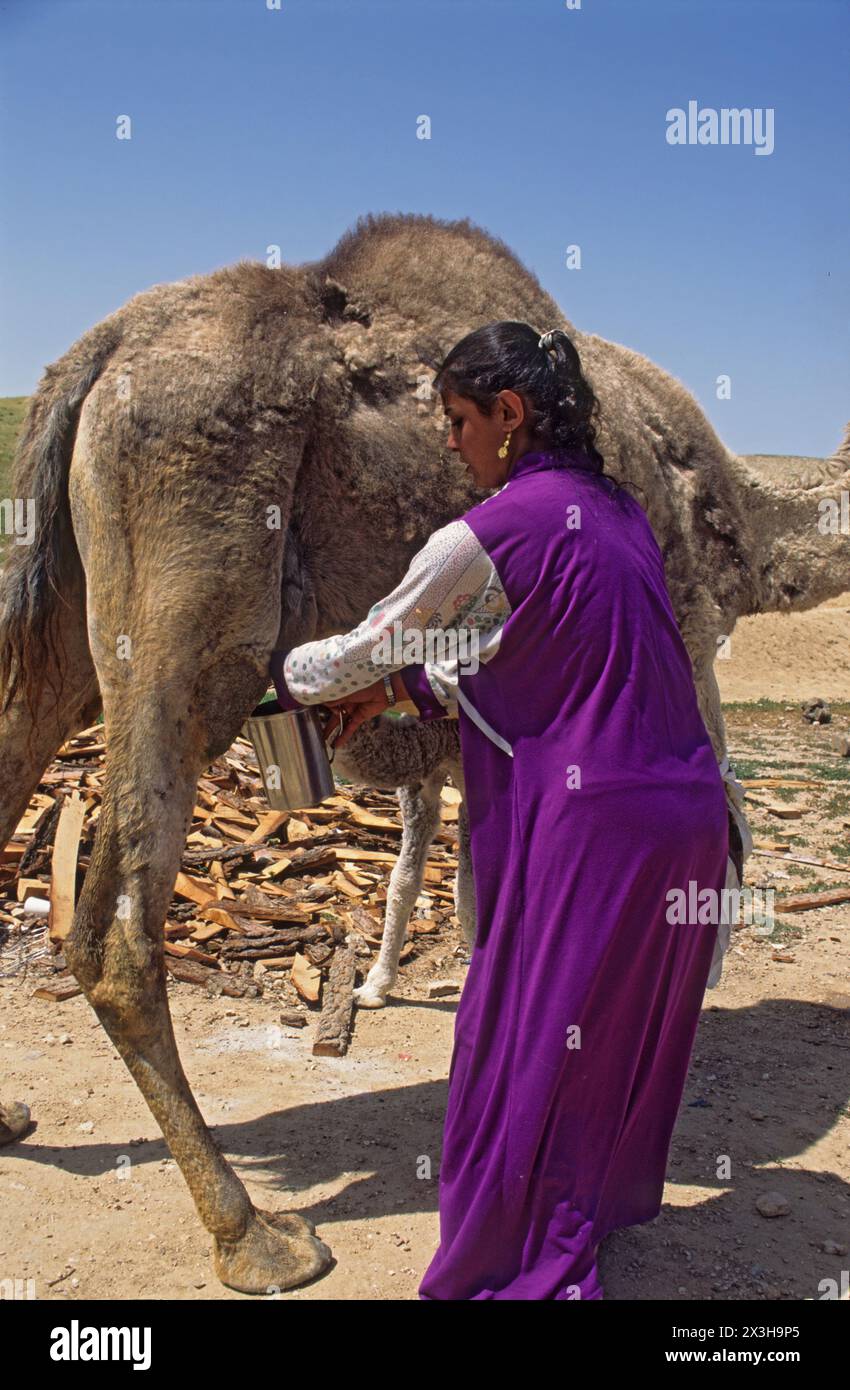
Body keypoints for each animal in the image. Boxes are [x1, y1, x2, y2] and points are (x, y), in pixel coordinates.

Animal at [1, 210, 848, 1294]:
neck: (744, 525)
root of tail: (96, 355)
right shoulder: (690, 637)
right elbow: (719, 847)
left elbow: (487, 880)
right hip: (191, 585)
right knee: (116, 923)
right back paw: (256, 1236)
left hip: (67, 610)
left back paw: (14, 1119)